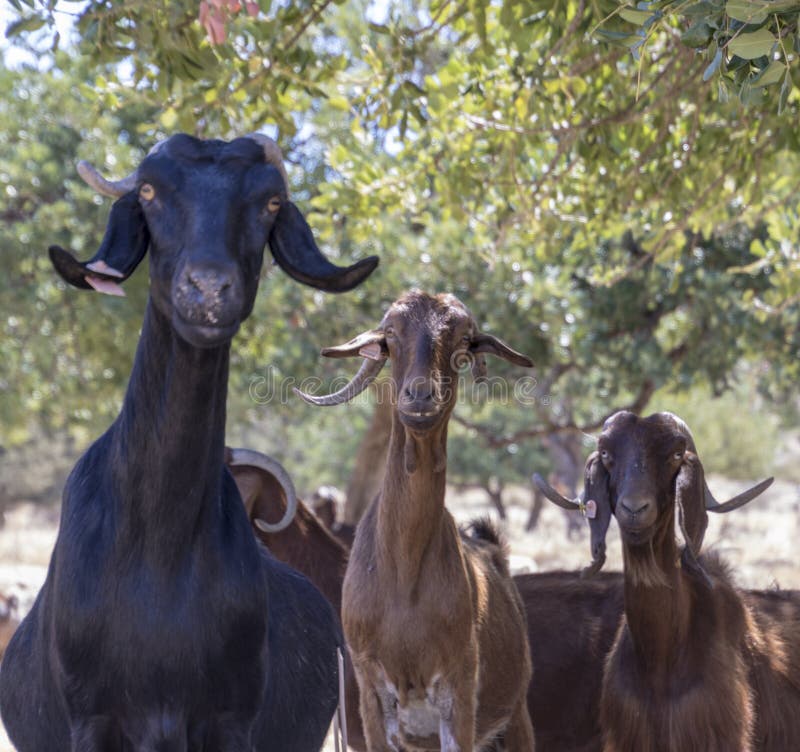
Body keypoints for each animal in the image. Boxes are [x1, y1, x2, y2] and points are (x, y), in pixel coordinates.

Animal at [0, 133, 378, 752]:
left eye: (271, 203)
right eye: (151, 192)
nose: (208, 290)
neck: (161, 549)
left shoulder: (230, 719)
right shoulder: (92, 718)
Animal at [294, 291, 535, 751]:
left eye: (463, 342)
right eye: (390, 335)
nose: (421, 396)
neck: (403, 579)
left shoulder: (458, 690)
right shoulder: (371, 692)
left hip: (515, 716)